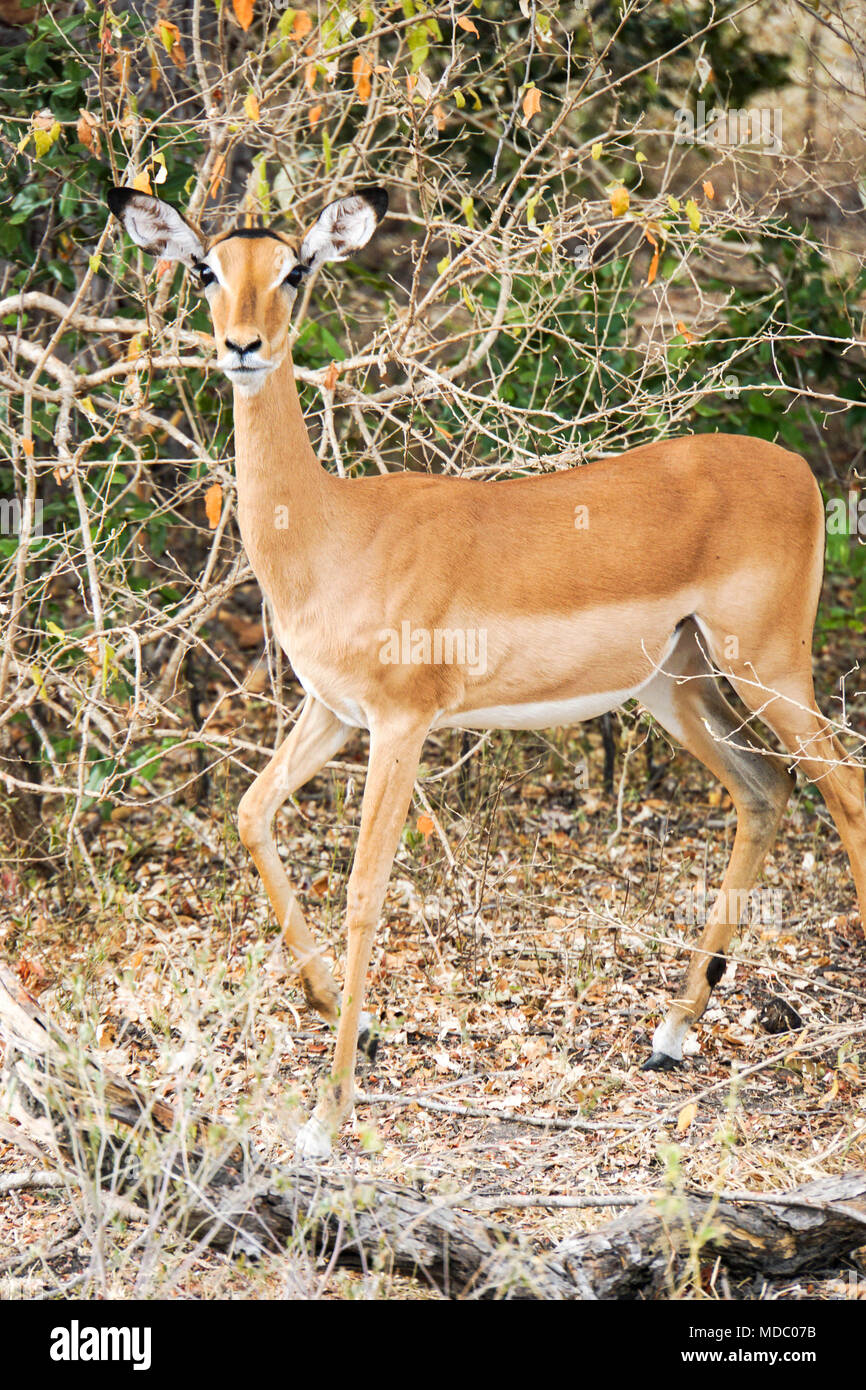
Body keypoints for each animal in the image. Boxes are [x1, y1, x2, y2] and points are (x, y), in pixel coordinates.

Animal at [108, 184, 866, 1158]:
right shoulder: (334, 712)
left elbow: (364, 890)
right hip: (677, 683)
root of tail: (801, 472)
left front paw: (327, 1115)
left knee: (845, 790)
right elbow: (248, 813)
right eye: (205, 268)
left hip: (770, 666)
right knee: (767, 789)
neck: (335, 533)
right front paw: (363, 1028)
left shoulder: (402, 722)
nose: (243, 346)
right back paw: (668, 1035)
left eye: (297, 268)